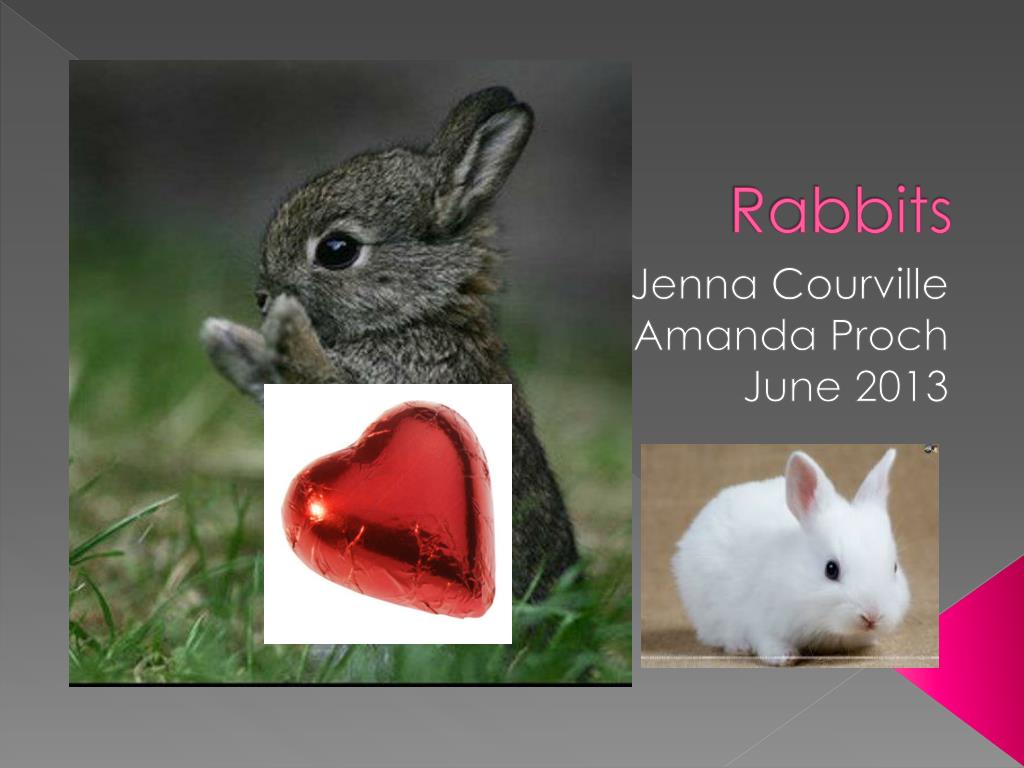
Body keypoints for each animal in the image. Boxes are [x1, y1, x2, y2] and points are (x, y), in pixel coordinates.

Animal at [671, 449, 910, 665]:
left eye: (894, 567)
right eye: (831, 569)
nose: (872, 617)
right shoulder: (761, 620)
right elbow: (767, 640)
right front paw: (785, 657)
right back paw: (739, 647)